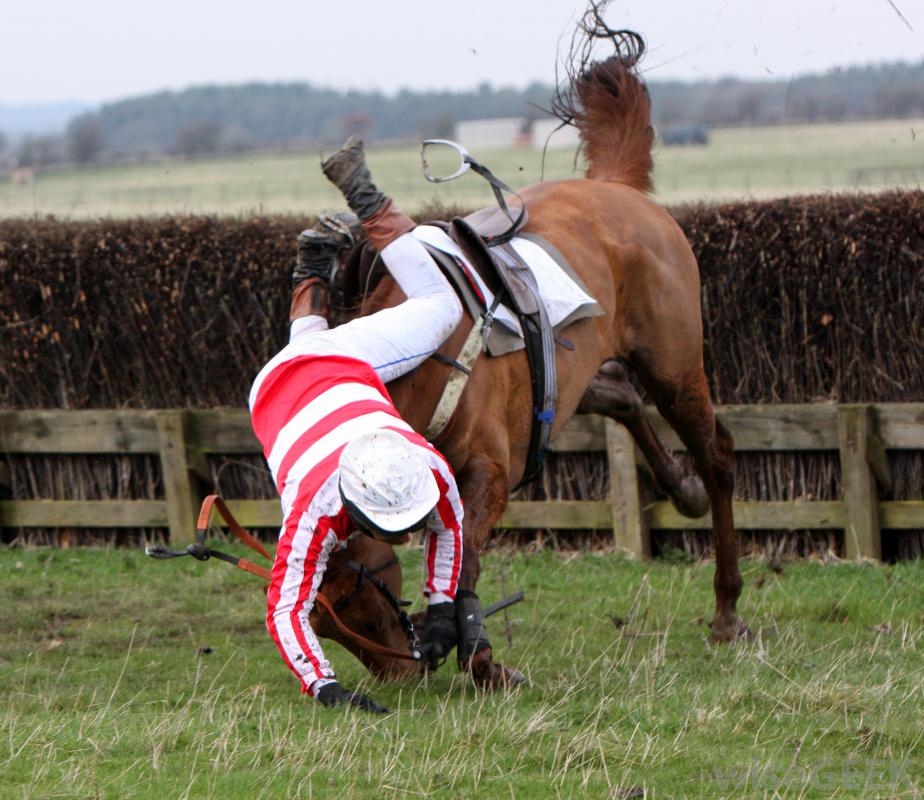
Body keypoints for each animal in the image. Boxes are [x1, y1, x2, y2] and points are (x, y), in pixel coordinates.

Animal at [314, 23, 748, 688]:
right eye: (322, 620)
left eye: (358, 595)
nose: (401, 674)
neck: (417, 365)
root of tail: (615, 186)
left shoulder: (488, 472)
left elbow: (464, 565)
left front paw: (481, 660)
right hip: (574, 377)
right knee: (620, 396)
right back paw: (682, 488)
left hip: (673, 365)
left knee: (716, 455)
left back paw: (726, 604)